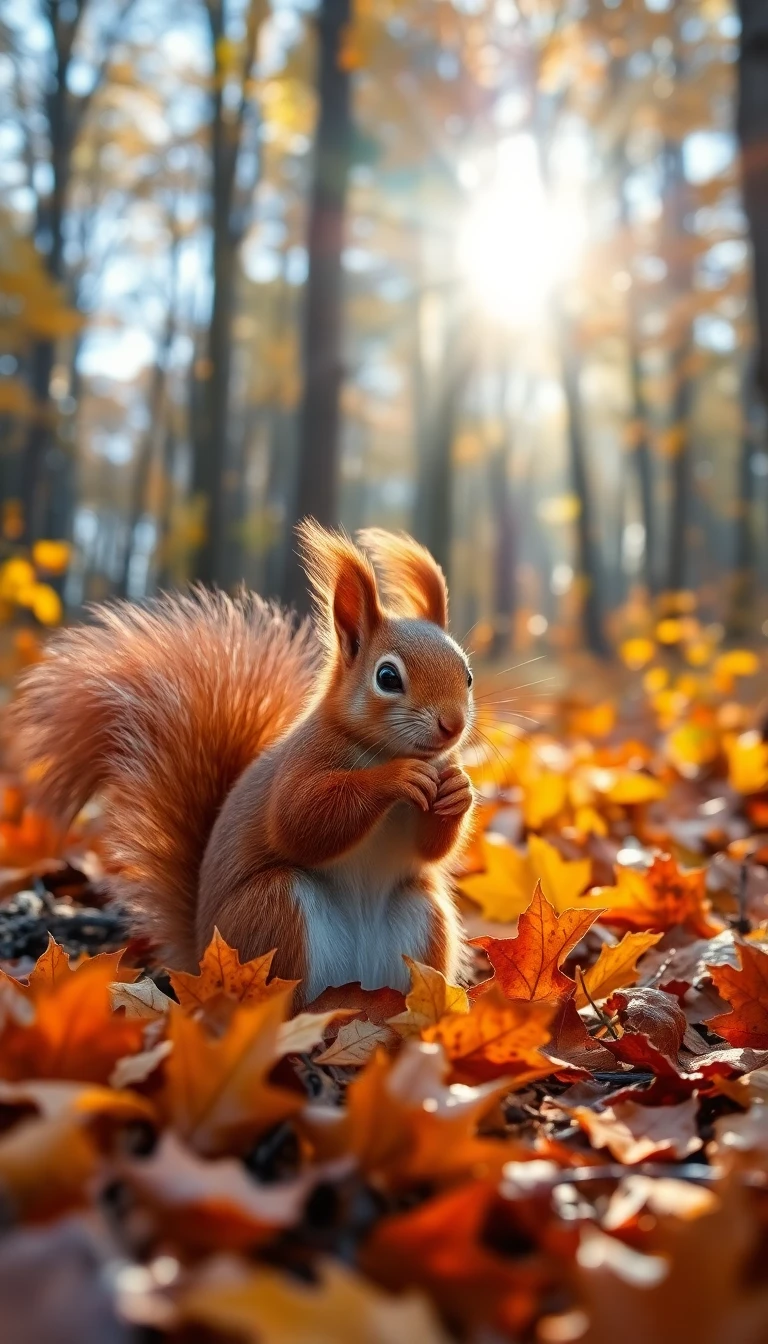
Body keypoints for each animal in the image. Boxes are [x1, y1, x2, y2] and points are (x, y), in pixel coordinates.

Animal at [8, 522, 475, 1003]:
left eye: (468, 675)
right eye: (387, 677)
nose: (453, 725)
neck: (386, 749)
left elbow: (431, 847)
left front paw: (459, 789)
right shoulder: (304, 759)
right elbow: (301, 819)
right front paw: (396, 778)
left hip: (421, 919)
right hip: (274, 911)